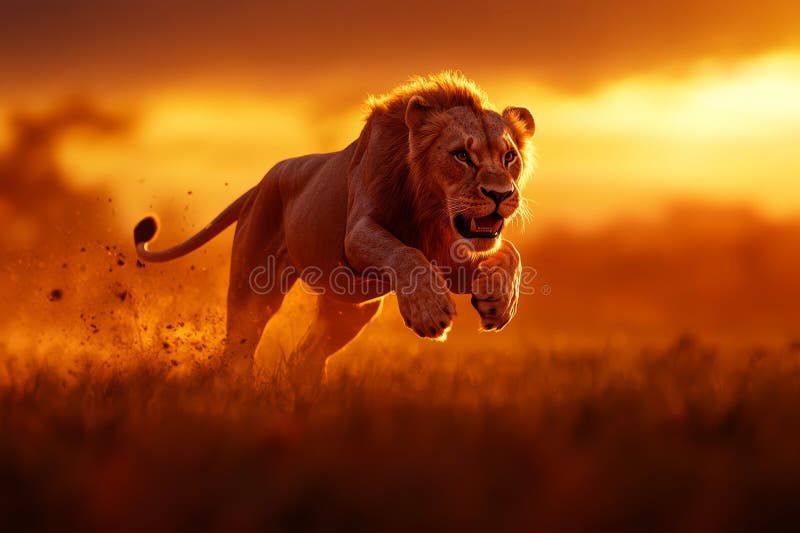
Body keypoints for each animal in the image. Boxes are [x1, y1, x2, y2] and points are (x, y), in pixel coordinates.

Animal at [134, 72, 535, 395]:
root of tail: (260, 184)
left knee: (304, 356)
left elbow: (510, 253)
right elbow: (405, 253)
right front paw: (428, 313)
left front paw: (498, 302)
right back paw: (236, 389)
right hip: (253, 288)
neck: (432, 211)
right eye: (461, 156)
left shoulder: (449, 258)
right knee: (239, 345)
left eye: (509, 157)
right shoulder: (357, 237)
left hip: (349, 312)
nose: (500, 194)